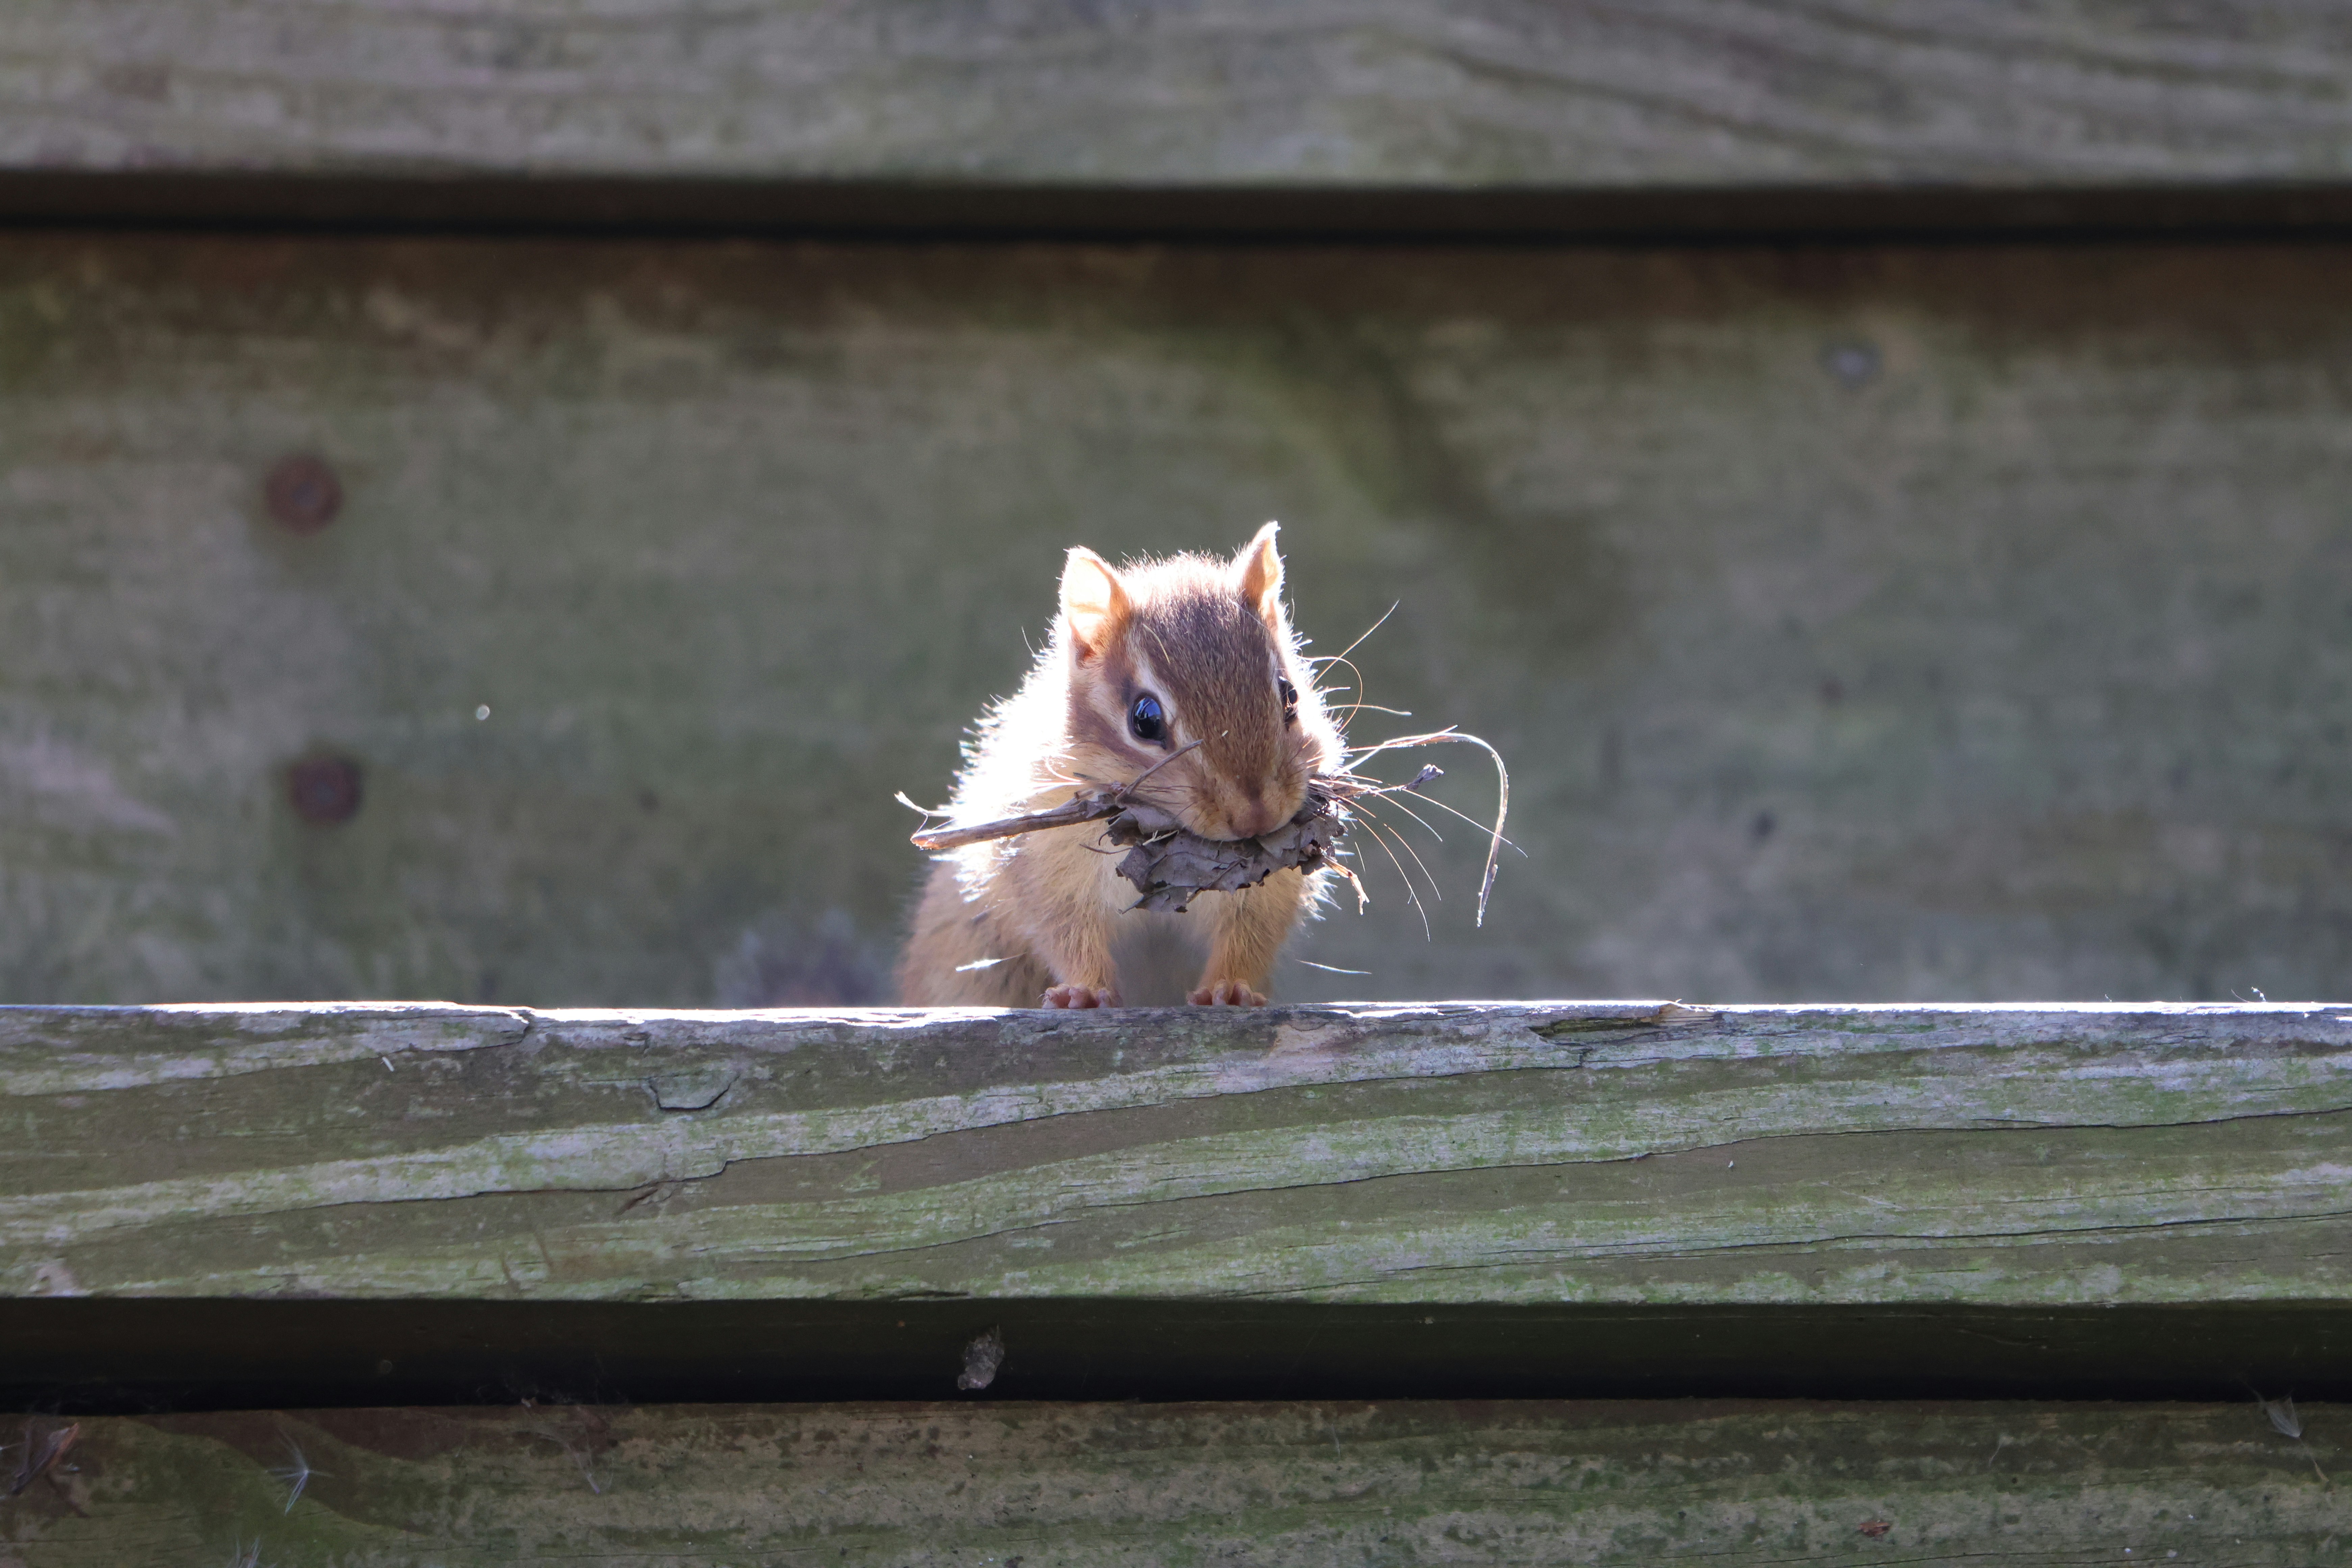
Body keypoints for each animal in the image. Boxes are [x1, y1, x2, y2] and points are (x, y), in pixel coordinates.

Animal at [897, 523, 1344, 1009]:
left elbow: (1248, 939)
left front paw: (1230, 988)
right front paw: (1085, 990)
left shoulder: (1264, 893)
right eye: (1144, 719)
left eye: (1290, 695)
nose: (1256, 816)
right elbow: (1068, 934)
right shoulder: (1047, 869)